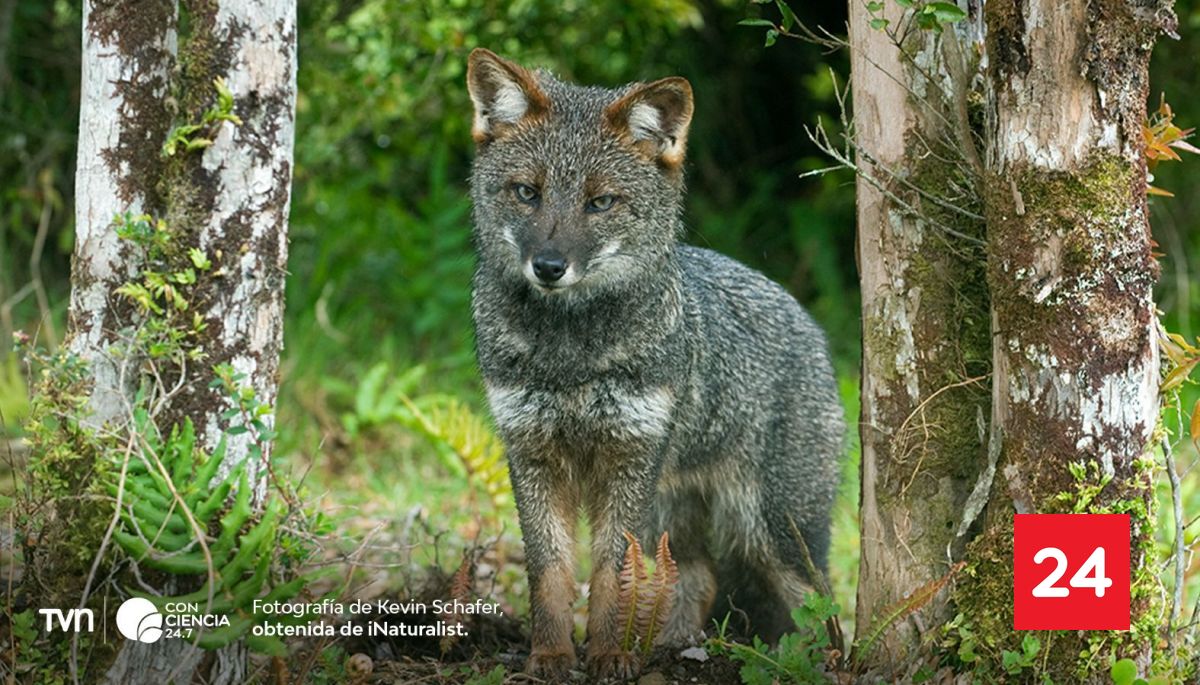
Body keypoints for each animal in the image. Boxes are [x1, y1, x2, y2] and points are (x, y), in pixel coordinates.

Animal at [466, 48, 844, 680]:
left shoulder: (630, 460)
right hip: (680, 513)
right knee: (698, 575)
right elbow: (551, 572)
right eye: (527, 193)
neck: (572, 356)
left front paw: (609, 655)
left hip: (773, 530)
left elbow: (611, 574)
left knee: (822, 605)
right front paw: (551, 655)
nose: (549, 266)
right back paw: (673, 648)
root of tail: (809, 321)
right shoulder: (532, 453)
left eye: (600, 202)